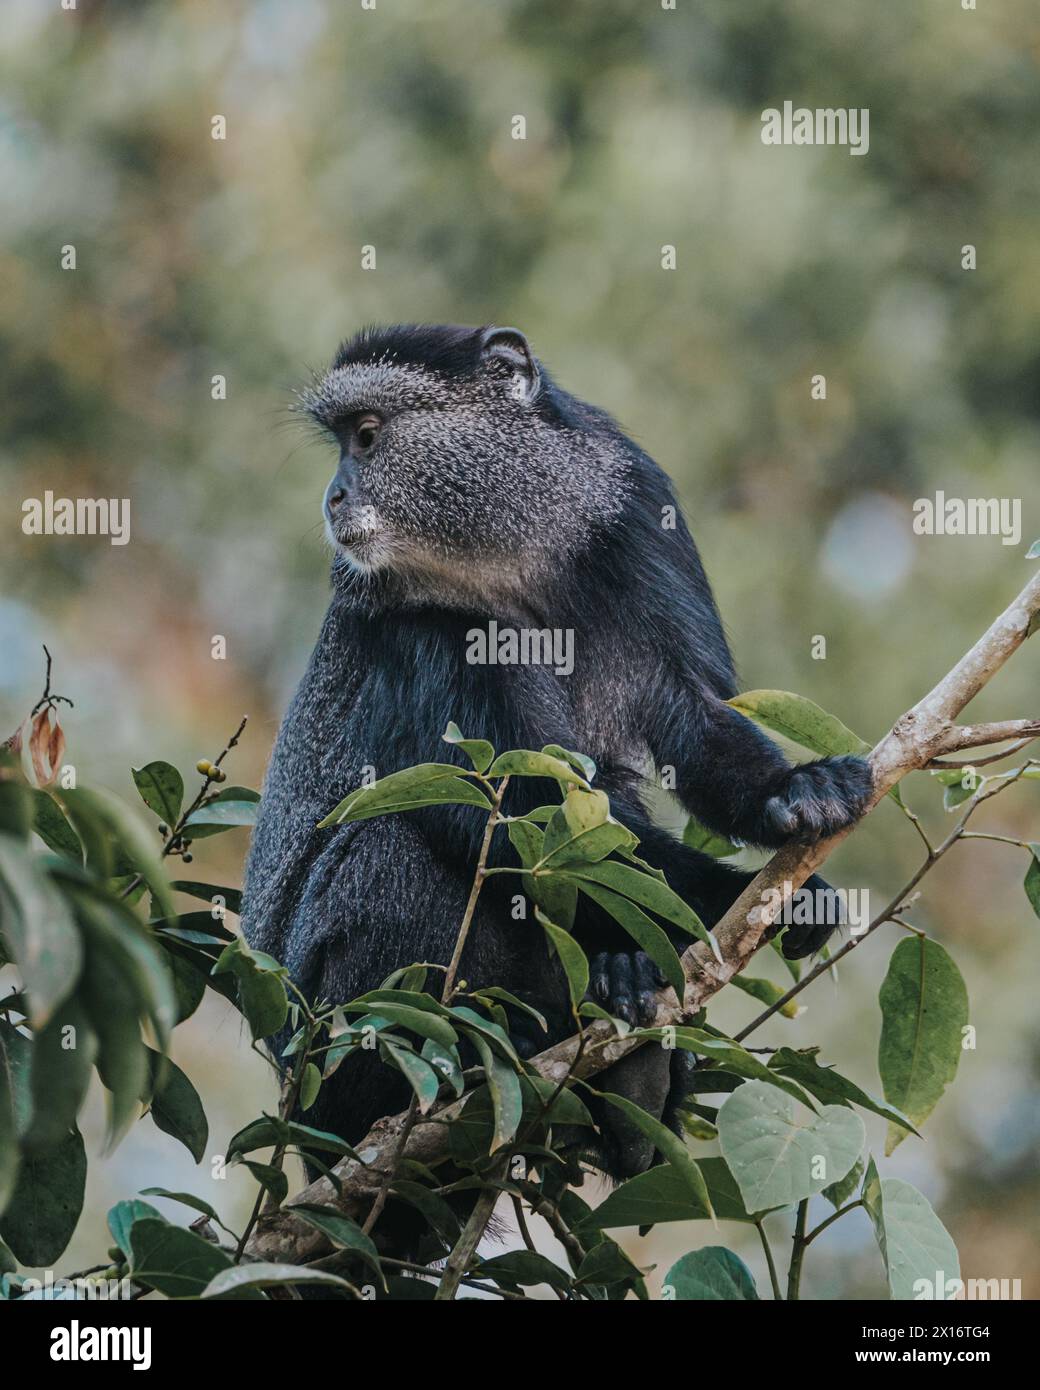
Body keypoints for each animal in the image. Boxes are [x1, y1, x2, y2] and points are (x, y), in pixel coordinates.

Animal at [241, 323, 872, 1190]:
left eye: (366, 436)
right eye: (343, 442)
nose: (334, 496)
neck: (512, 549)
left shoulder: (637, 508)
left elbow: (692, 713)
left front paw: (797, 792)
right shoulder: (418, 626)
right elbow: (514, 819)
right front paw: (750, 897)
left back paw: (631, 1067)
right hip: (322, 1044)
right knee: (389, 850)